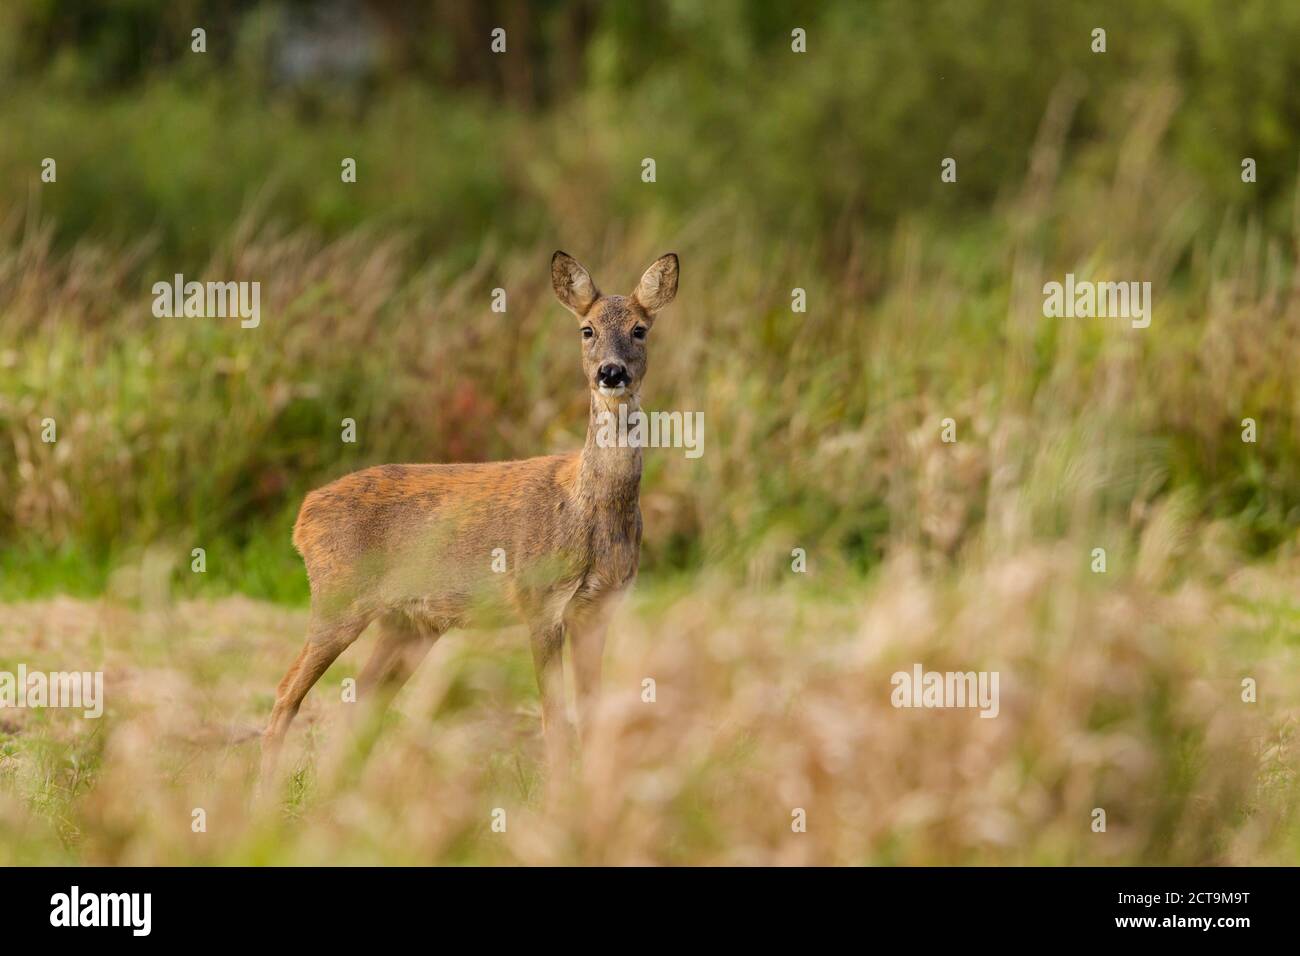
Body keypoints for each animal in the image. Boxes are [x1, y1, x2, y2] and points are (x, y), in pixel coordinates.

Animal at [260, 251, 679, 783]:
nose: (611, 372)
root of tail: (302, 516)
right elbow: (553, 718)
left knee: (361, 703)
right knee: (286, 692)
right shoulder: (539, 601)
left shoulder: (597, 611)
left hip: (409, 624)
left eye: (640, 329)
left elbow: (592, 715)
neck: (590, 510)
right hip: (338, 599)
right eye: (586, 329)